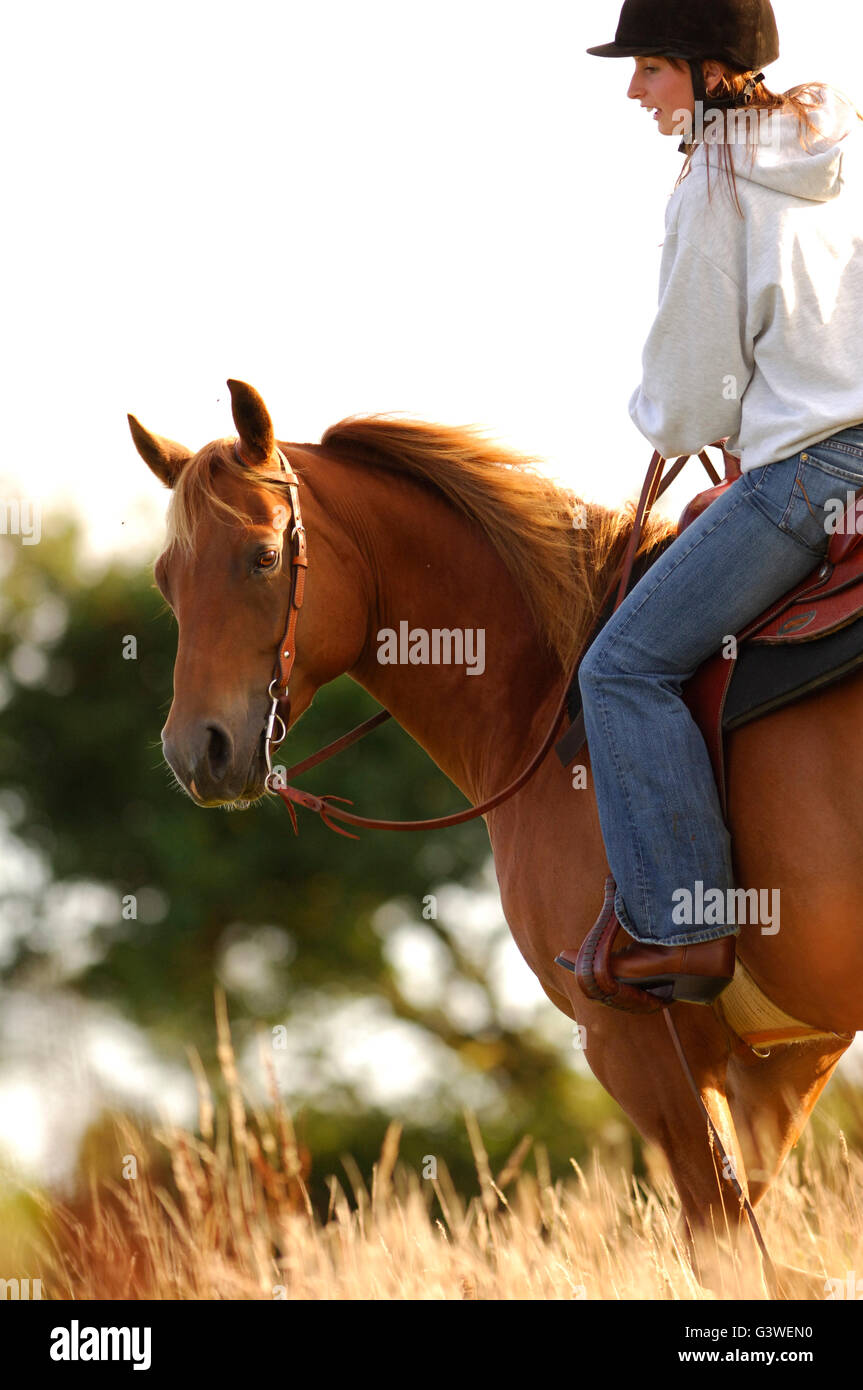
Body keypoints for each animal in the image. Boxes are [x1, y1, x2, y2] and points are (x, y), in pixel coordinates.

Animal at [129, 378, 862, 1296]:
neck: (546, 700)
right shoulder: (783, 1058)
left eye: (261, 558)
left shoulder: (640, 1044)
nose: (198, 752)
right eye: (166, 579)